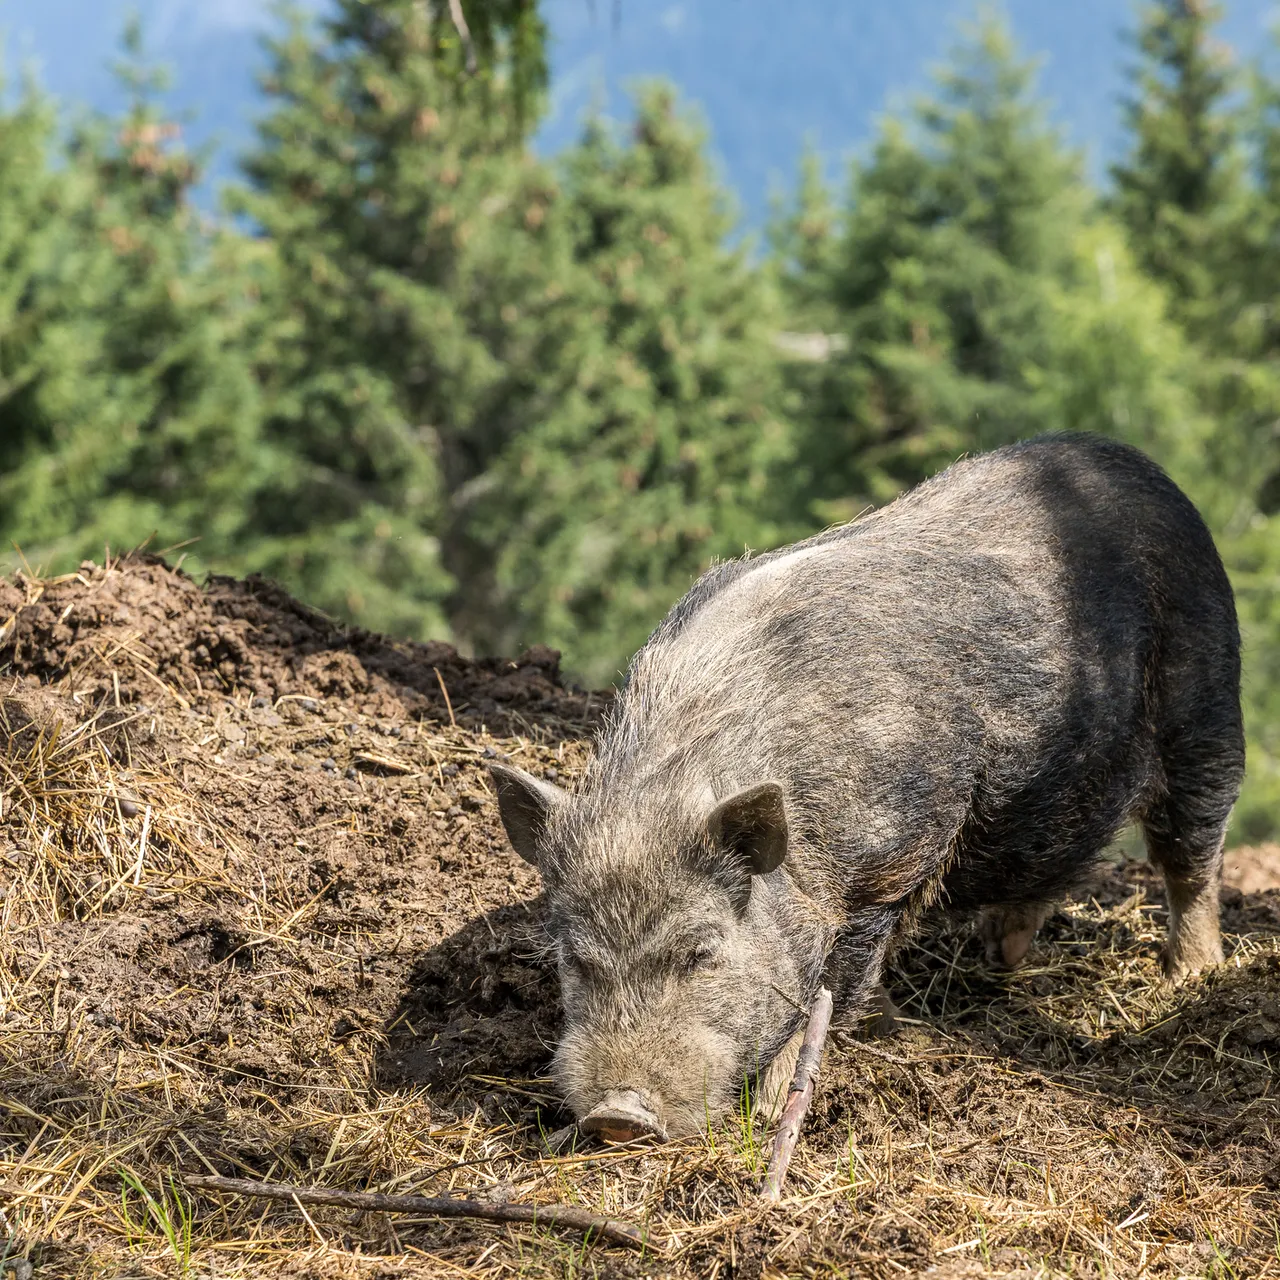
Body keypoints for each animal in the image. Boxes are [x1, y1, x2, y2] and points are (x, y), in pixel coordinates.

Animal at [490, 433, 1243, 1141]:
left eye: (702, 951)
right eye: (573, 958)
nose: (617, 1115)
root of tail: (1138, 466)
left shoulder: (891, 859)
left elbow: (834, 981)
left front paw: (774, 1111)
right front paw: (890, 1028)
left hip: (1206, 702)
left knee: (1193, 850)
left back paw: (1192, 975)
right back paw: (999, 957)